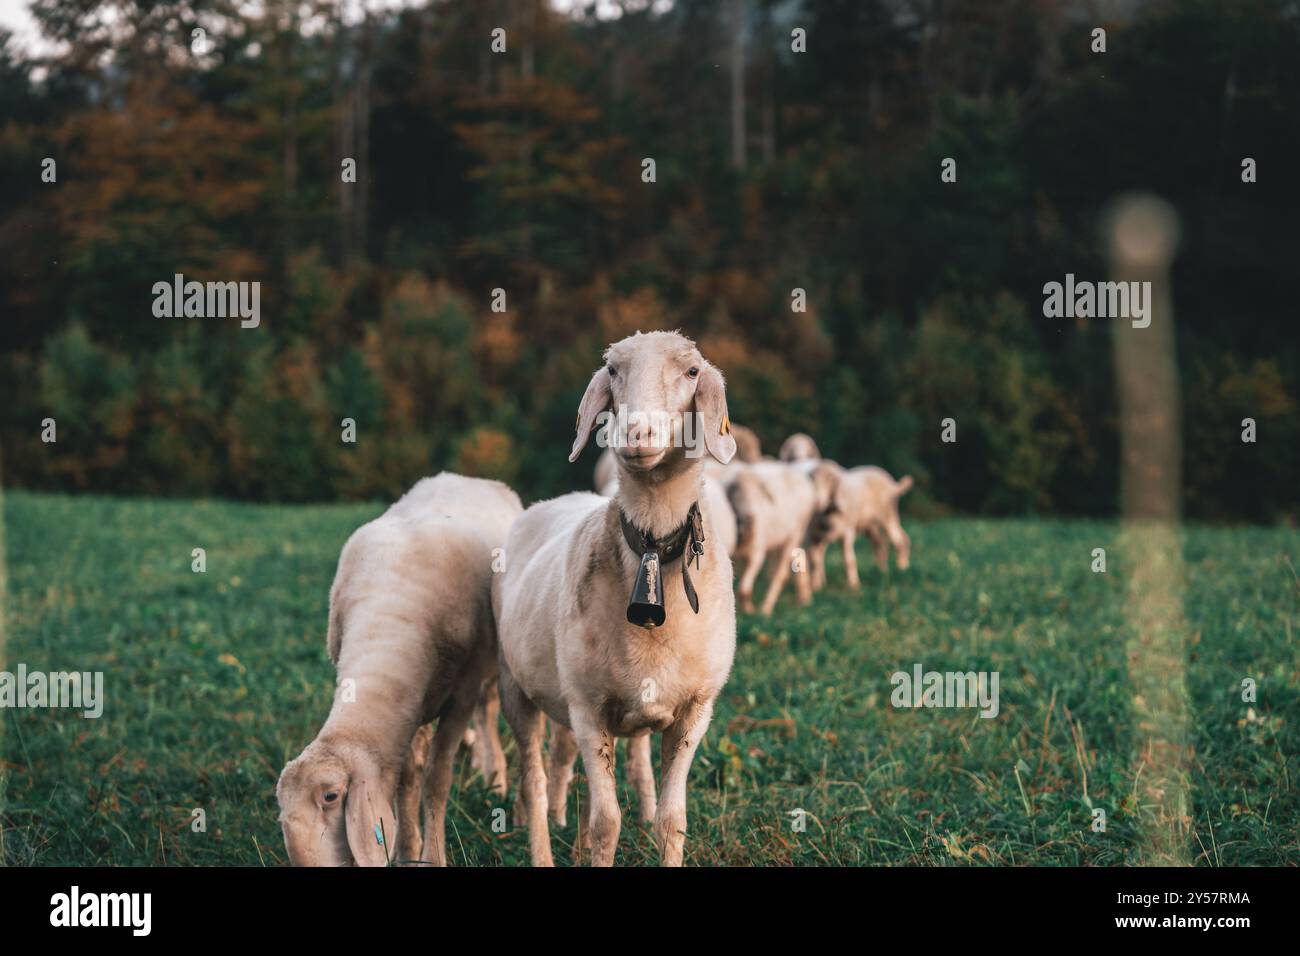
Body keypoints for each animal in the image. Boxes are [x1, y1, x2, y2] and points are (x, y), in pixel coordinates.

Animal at [276, 473, 521, 866]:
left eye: (330, 796)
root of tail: (465, 477)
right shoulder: (407, 708)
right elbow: (408, 779)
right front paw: (408, 851)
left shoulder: (462, 693)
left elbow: (436, 780)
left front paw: (433, 856)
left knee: (488, 712)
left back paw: (496, 780)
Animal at [494, 330, 737, 867]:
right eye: (611, 370)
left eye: (692, 372)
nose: (636, 433)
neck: (651, 550)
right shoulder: (587, 706)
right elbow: (607, 823)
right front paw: (595, 844)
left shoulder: (695, 710)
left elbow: (671, 820)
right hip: (514, 687)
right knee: (535, 783)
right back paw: (543, 851)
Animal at [725, 460, 817, 615]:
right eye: (737, 491)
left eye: (759, 494)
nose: (751, 518)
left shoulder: (757, 552)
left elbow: (743, 588)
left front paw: (749, 609)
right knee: (799, 559)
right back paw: (805, 597)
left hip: (795, 534)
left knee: (780, 574)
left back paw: (766, 607)